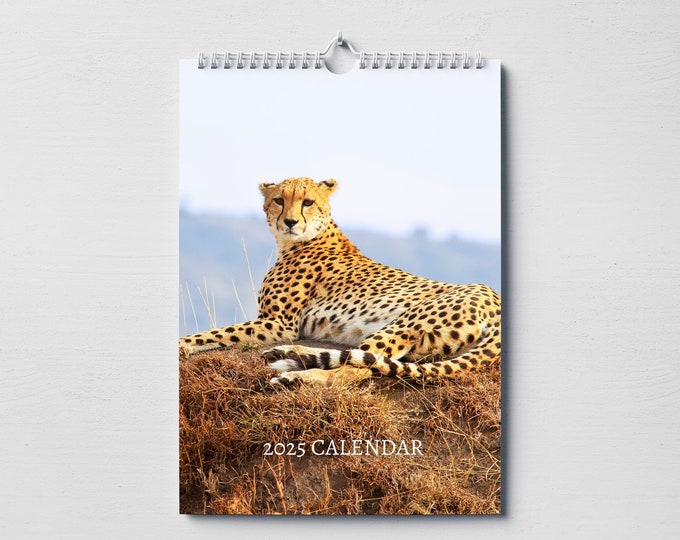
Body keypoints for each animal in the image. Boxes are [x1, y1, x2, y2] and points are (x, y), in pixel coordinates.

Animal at [180, 177, 501, 386]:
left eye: (307, 202)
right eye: (279, 201)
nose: (290, 222)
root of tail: (494, 298)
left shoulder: (278, 323)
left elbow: (215, 333)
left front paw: (183, 344)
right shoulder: (277, 323)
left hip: (404, 323)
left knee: (359, 367)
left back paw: (296, 375)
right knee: (364, 358)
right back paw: (289, 355)